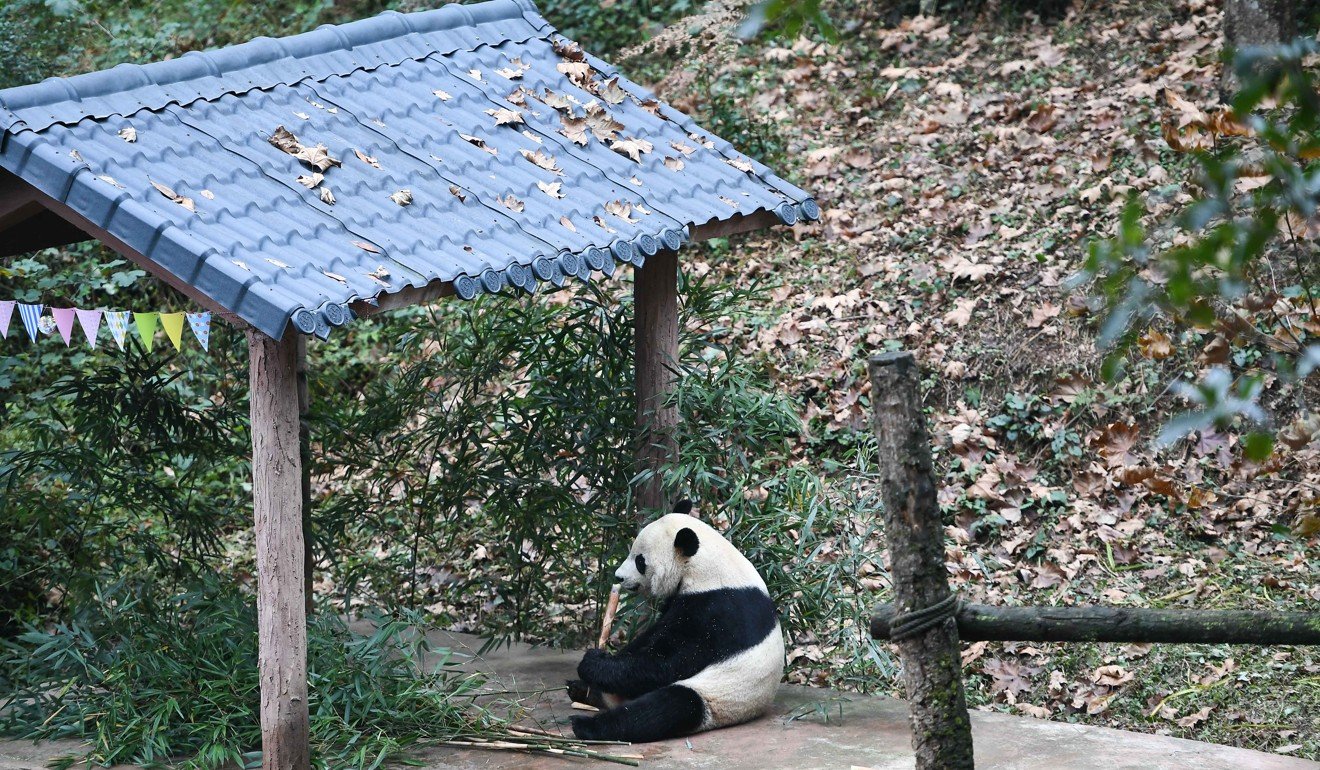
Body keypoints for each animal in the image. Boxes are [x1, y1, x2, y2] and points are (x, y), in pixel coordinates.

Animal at [567, 500, 784, 743]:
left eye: (640, 560)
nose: (619, 577)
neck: (707, 567)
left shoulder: (718, 611)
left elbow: (667, 661)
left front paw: (593, 663)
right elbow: (650, 637)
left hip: (720, 695)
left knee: (668, 707)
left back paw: (587, 725)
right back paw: (583, 691)